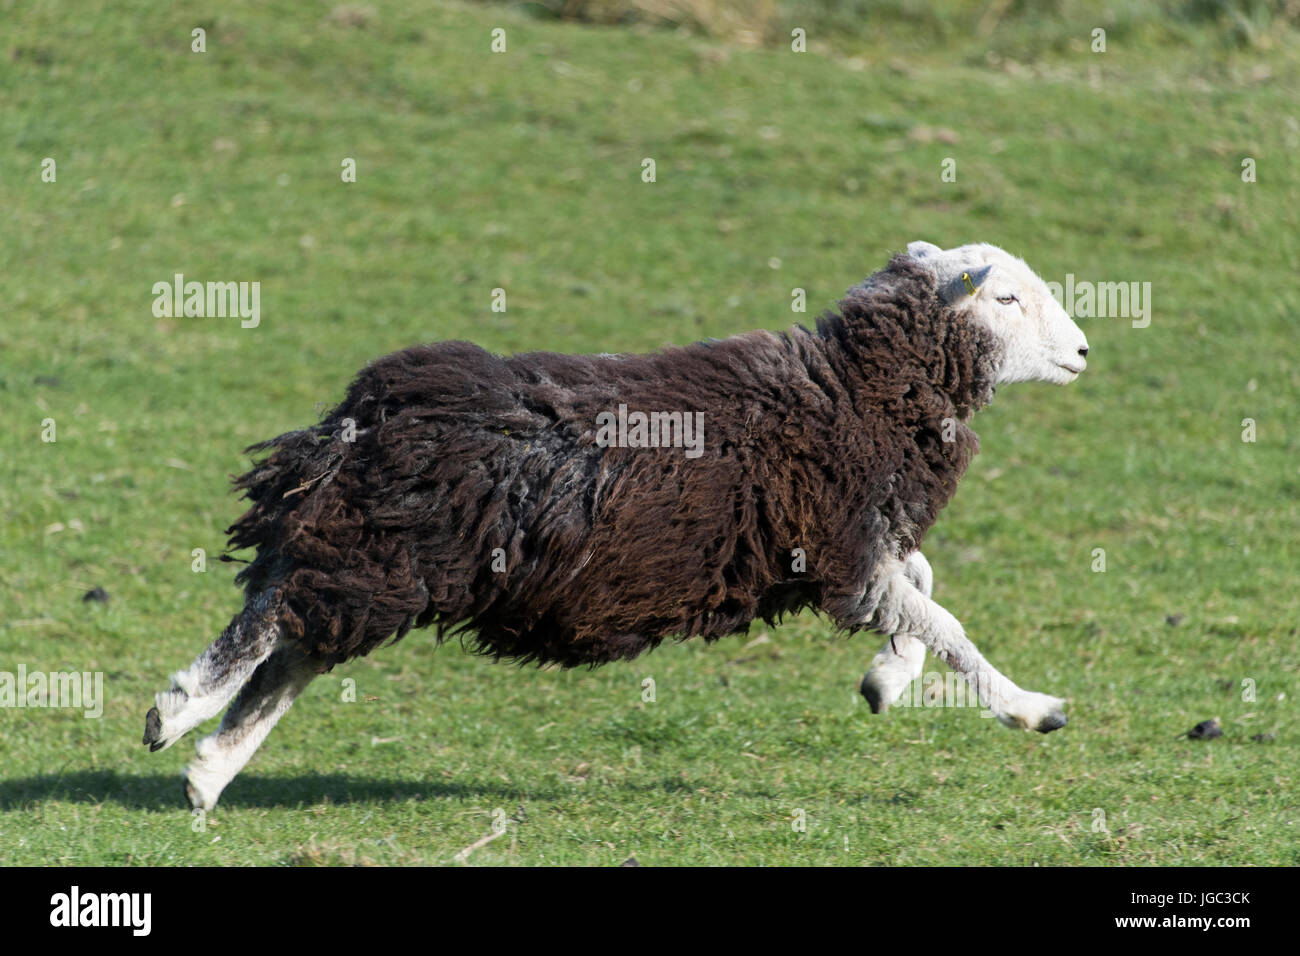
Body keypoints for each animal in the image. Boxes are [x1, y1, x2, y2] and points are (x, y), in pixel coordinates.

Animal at [143, 240, 1090, 810]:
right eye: (1008, 298)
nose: (1084, 350)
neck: (856, 392)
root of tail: (375, 405)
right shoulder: (838, 548)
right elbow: (947, 620)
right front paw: (1031, 710)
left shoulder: (850, 551)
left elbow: (924, 590)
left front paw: (887, 680)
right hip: (391, 542)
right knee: (272, 612)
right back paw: (181, 710)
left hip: (385, 552)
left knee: (294, 647)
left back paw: (207, 770)